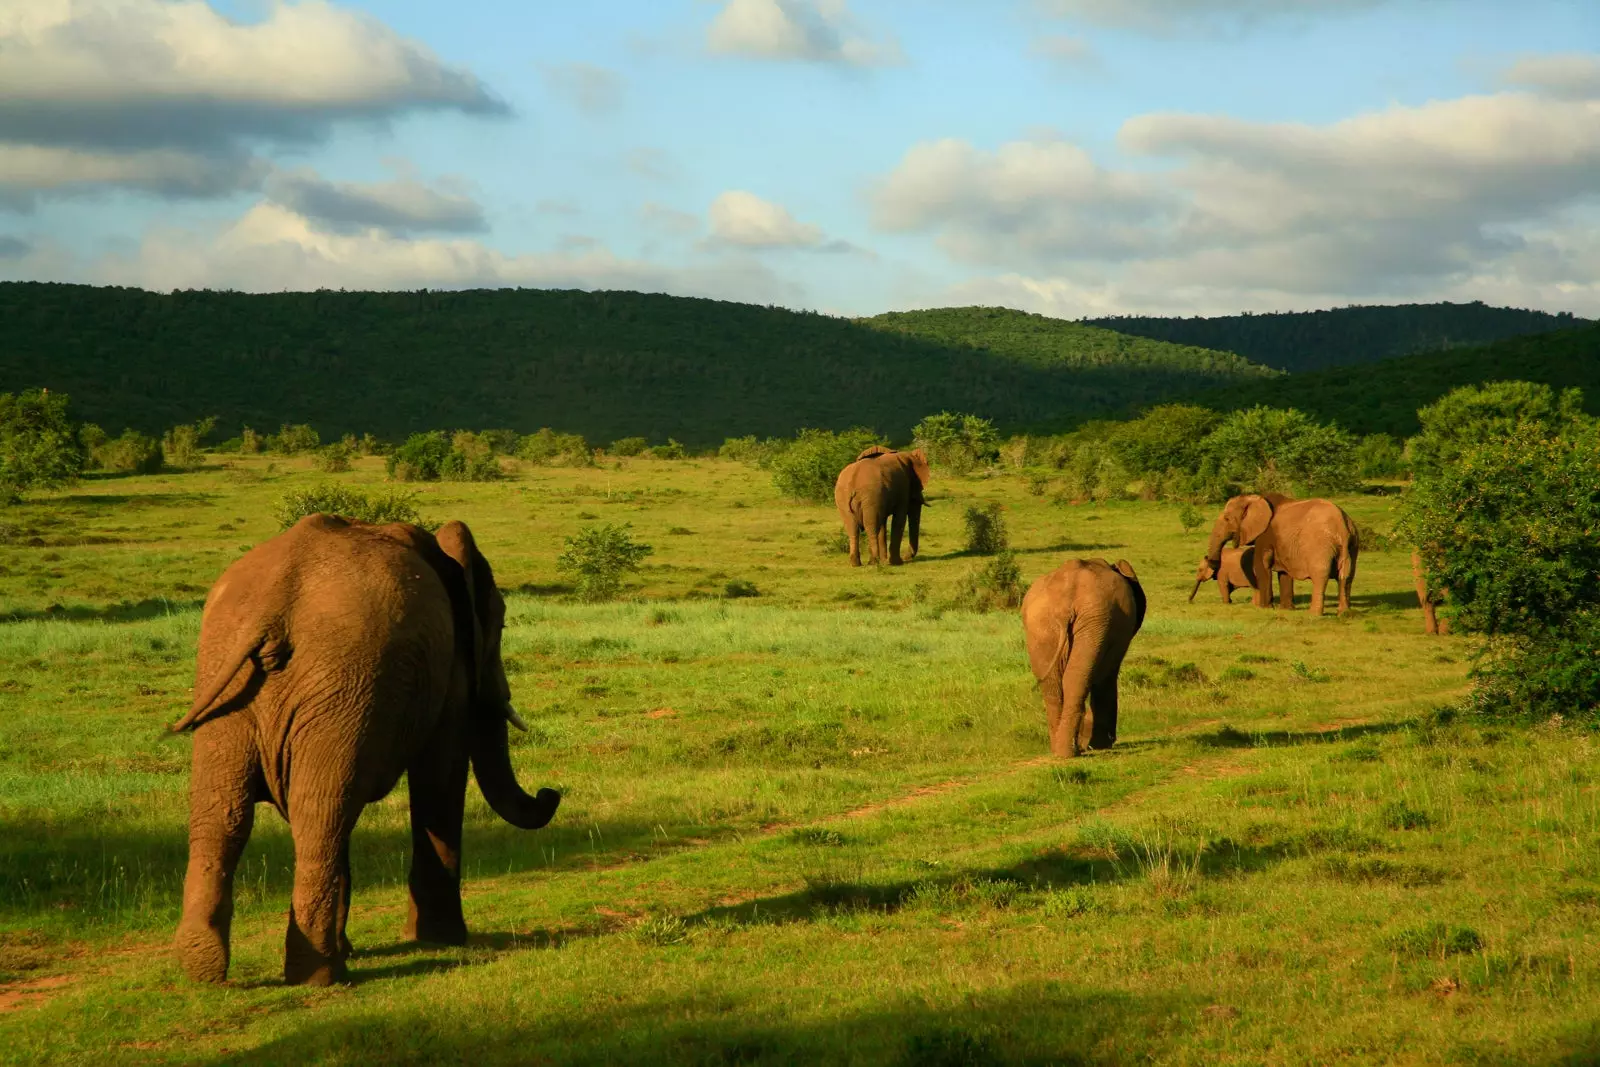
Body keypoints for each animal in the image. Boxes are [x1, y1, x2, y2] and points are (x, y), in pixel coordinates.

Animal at [171, 511, 563, 991]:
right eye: (501, 625)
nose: (550, 793)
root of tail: (272, 609)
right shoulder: (450, 666)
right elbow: (440, 780)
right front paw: (442, 940)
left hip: (234, 678)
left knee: (227, 813)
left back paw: (201, 963)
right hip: (344, 679)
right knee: (319, 812)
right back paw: (321, 975)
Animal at [1017, 559, 1145, 758]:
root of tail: (1064, 606)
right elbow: (1106, 675)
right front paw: (1100, 745)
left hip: (1042, 624)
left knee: (1054, 685)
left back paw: (1060, 751)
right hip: (1093, 621)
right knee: (1076, 679)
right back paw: (1071, 751)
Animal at [1203, 495, 1356, 617]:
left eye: (1227, 518)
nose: (1210, 562)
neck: (1255, 498)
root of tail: (1342, 525)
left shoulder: (1265, 534)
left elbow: (1261, 565)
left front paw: (1264, 608)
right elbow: (1284, 572)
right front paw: (1287, 610)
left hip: (1320, 545)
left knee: (1320, 575)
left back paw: (1313, 614)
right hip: (1353, 542)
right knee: (1347, 576)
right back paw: (1344, 613)